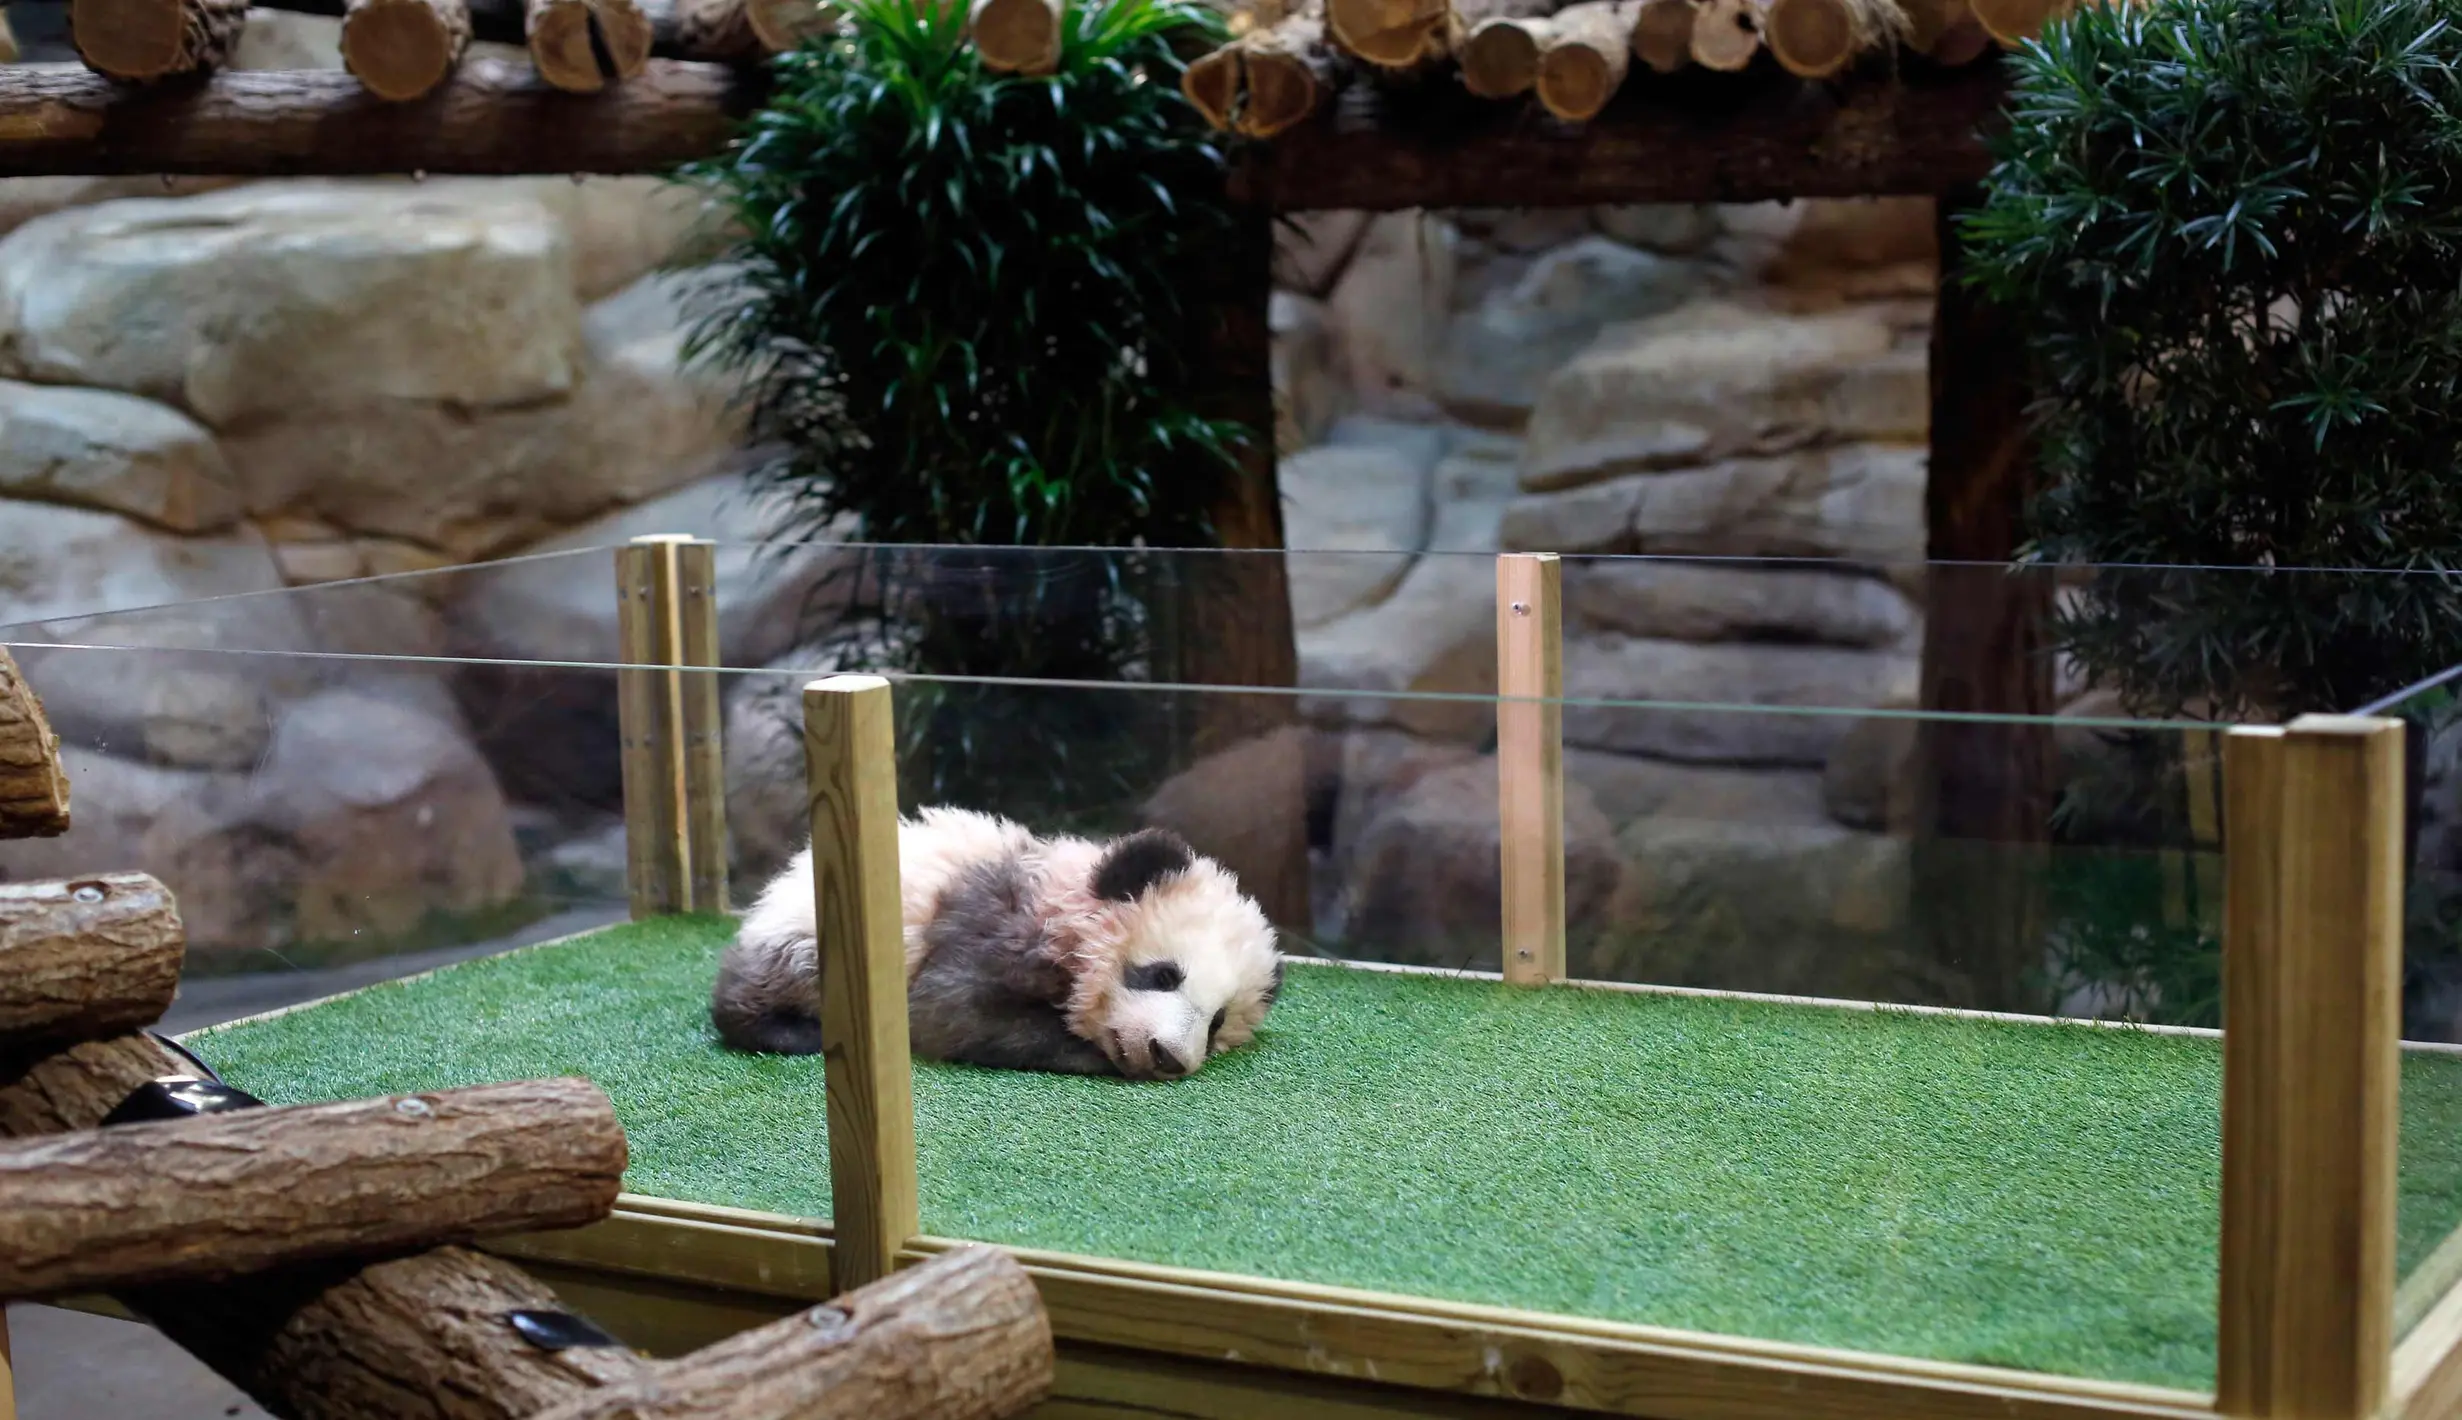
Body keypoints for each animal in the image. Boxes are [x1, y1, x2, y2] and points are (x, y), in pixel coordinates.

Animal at [711, 806, 1284, 1079]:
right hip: (804, 934)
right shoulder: (982, 919)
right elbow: (949, 1012)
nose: (1168, 1057)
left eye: (1218, 1021)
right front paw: (1088, 1052)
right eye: (1163, 975)